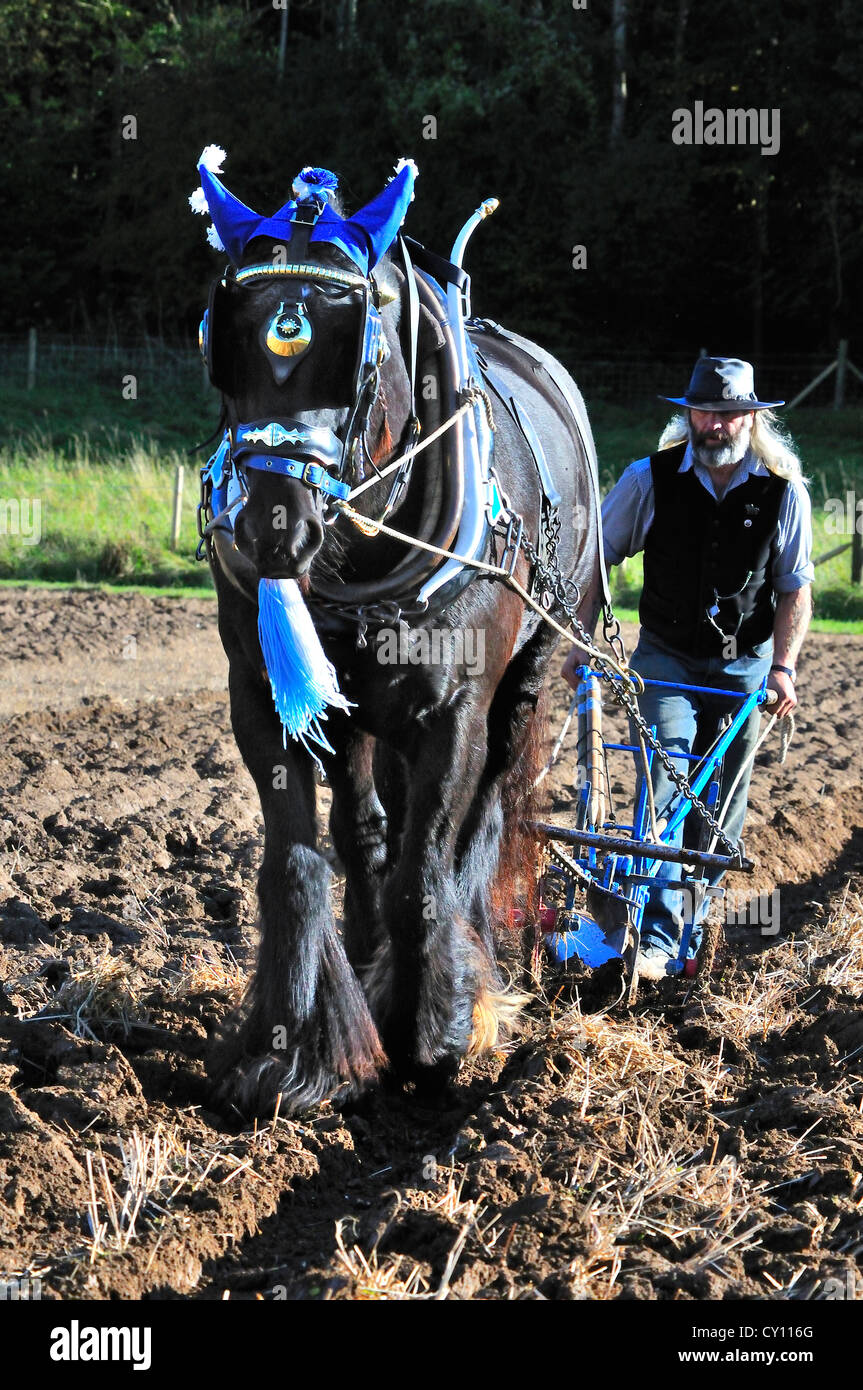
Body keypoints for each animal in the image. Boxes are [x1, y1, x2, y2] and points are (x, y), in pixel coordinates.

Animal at [191, 155, 602, 1117]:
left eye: (358, 339)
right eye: (229, 338)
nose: (272, 524)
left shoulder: (452, 712)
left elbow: (426, 874)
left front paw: (432, 1037)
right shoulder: (266, 696)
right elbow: (299, 863)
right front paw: (293, 1052)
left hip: (532, 675)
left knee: (474, 826)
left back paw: (467, 974)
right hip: (351, 712)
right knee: (367, 829)